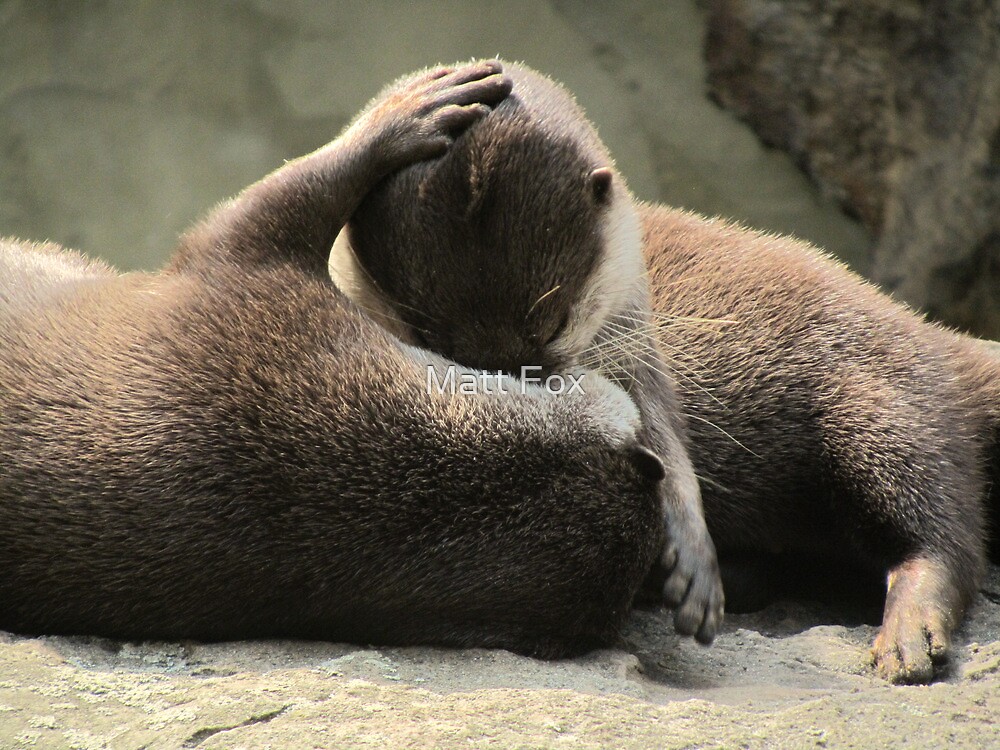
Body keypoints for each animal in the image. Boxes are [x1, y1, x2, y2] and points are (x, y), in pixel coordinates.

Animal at [332, 61, 1000, 684]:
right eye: (427, 339)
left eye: (553, 323)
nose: (520, 414)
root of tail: (927, 332)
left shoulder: (637, 349)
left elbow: (666, 442)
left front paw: (694, 560)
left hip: (880, 403)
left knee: (944, 530)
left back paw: (906, 638)